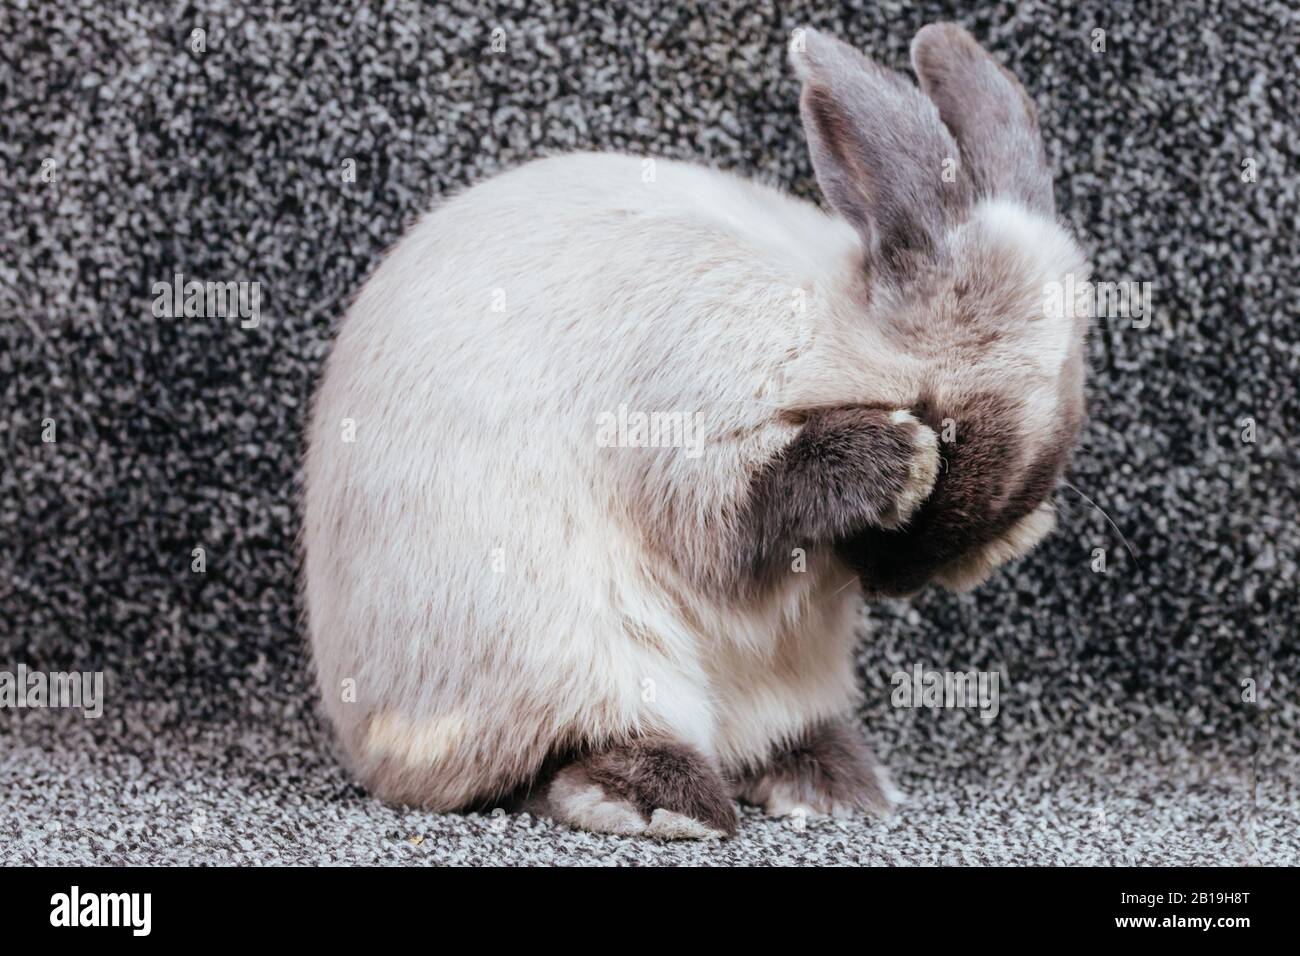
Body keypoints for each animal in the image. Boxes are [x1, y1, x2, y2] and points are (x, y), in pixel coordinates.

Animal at [302, 22, 1090, 839]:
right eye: (939, 418)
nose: (892, 583)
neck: (827, 332)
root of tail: (366, 748)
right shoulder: (688, 432)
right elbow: (736, 520)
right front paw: (895, 462)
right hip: (566, 652)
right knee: (559, 755)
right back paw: (667, 802)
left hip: (787, 676)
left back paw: (832, 783)